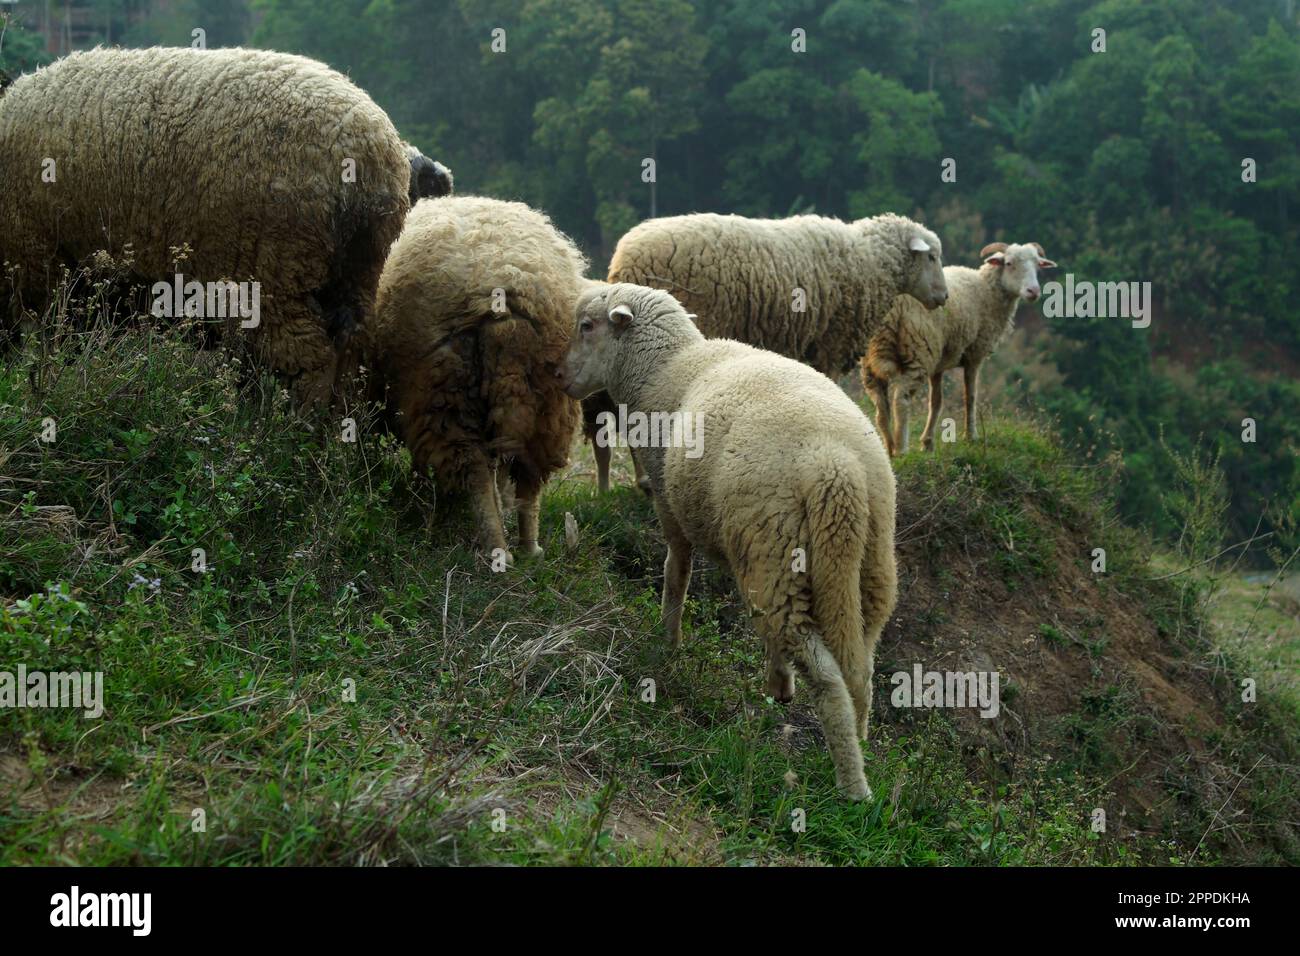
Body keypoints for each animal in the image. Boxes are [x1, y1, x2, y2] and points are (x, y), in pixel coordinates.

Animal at [0, 47, 412, 404]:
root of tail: (372, 153)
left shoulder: (42, 269)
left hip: (271, 274)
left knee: (309, 358)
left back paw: (289, 428)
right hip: (357, 272)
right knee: (350, 351)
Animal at [367, 196, 586, 563]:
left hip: (446, 392)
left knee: (476, 473)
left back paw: (497, 548)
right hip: (551, 403)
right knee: (529, 478)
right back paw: (528, 548)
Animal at [559, 282, 898, 800]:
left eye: (586, 326)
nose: (559, 376)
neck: (666, 364)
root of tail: (836, 468)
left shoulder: (667, 497)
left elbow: (676, 570)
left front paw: (669, 640)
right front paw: (778, 681)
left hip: (776, 547)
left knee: (825, 673)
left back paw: (851, 785)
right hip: (861, 564)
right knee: (860, 663)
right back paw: (858, 744)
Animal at [583, 211, 948, 491]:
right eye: (931, 257)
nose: (944, 298)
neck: (870, 261)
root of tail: (624, 260)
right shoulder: (829, 345)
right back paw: (644, 480)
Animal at [861, 242, 1057, 456]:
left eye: (1038, 265)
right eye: (1009, 263)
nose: (1033, 291)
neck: (986, 292)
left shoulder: (938, 362)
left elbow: (936, 402)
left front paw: (928, 443)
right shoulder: (974, 354)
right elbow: (970, 397)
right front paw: (971, 436)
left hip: (871, 359)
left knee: (880, 405)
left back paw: (888, 448)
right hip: (918, 350)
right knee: (900, 400)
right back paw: (901, 449)